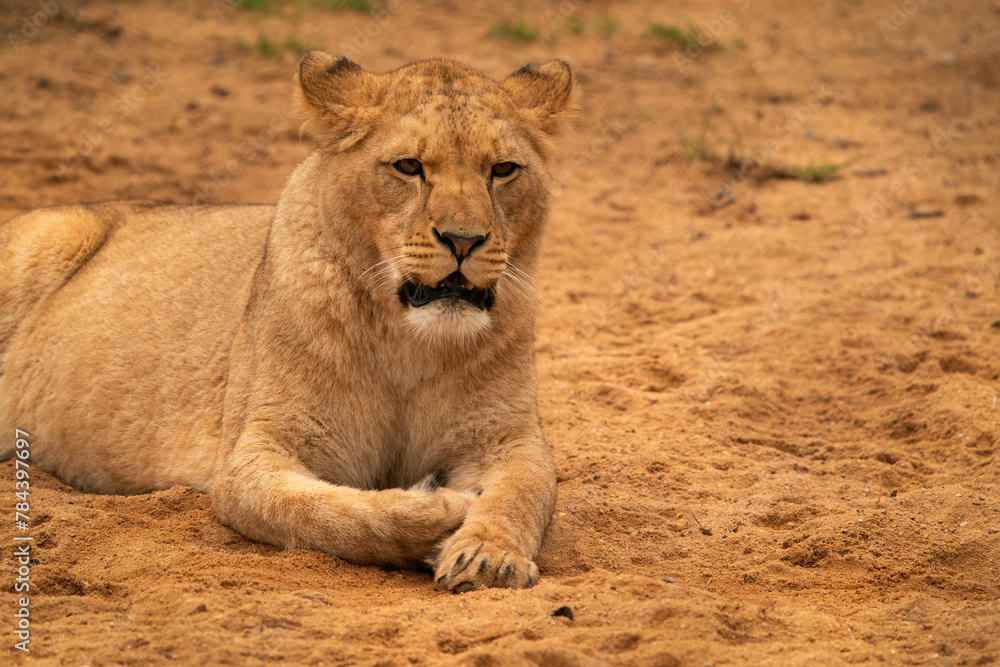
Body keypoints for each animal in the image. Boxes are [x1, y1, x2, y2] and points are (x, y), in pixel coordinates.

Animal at [0, 52, 577, 592]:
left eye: (502, 170)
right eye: (409, 166)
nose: (463, 240)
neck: (409, 342)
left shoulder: (509, 439)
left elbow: (521, 495)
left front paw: (489, 556)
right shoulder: (252, 455)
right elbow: (327, 515)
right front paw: (444, 508)